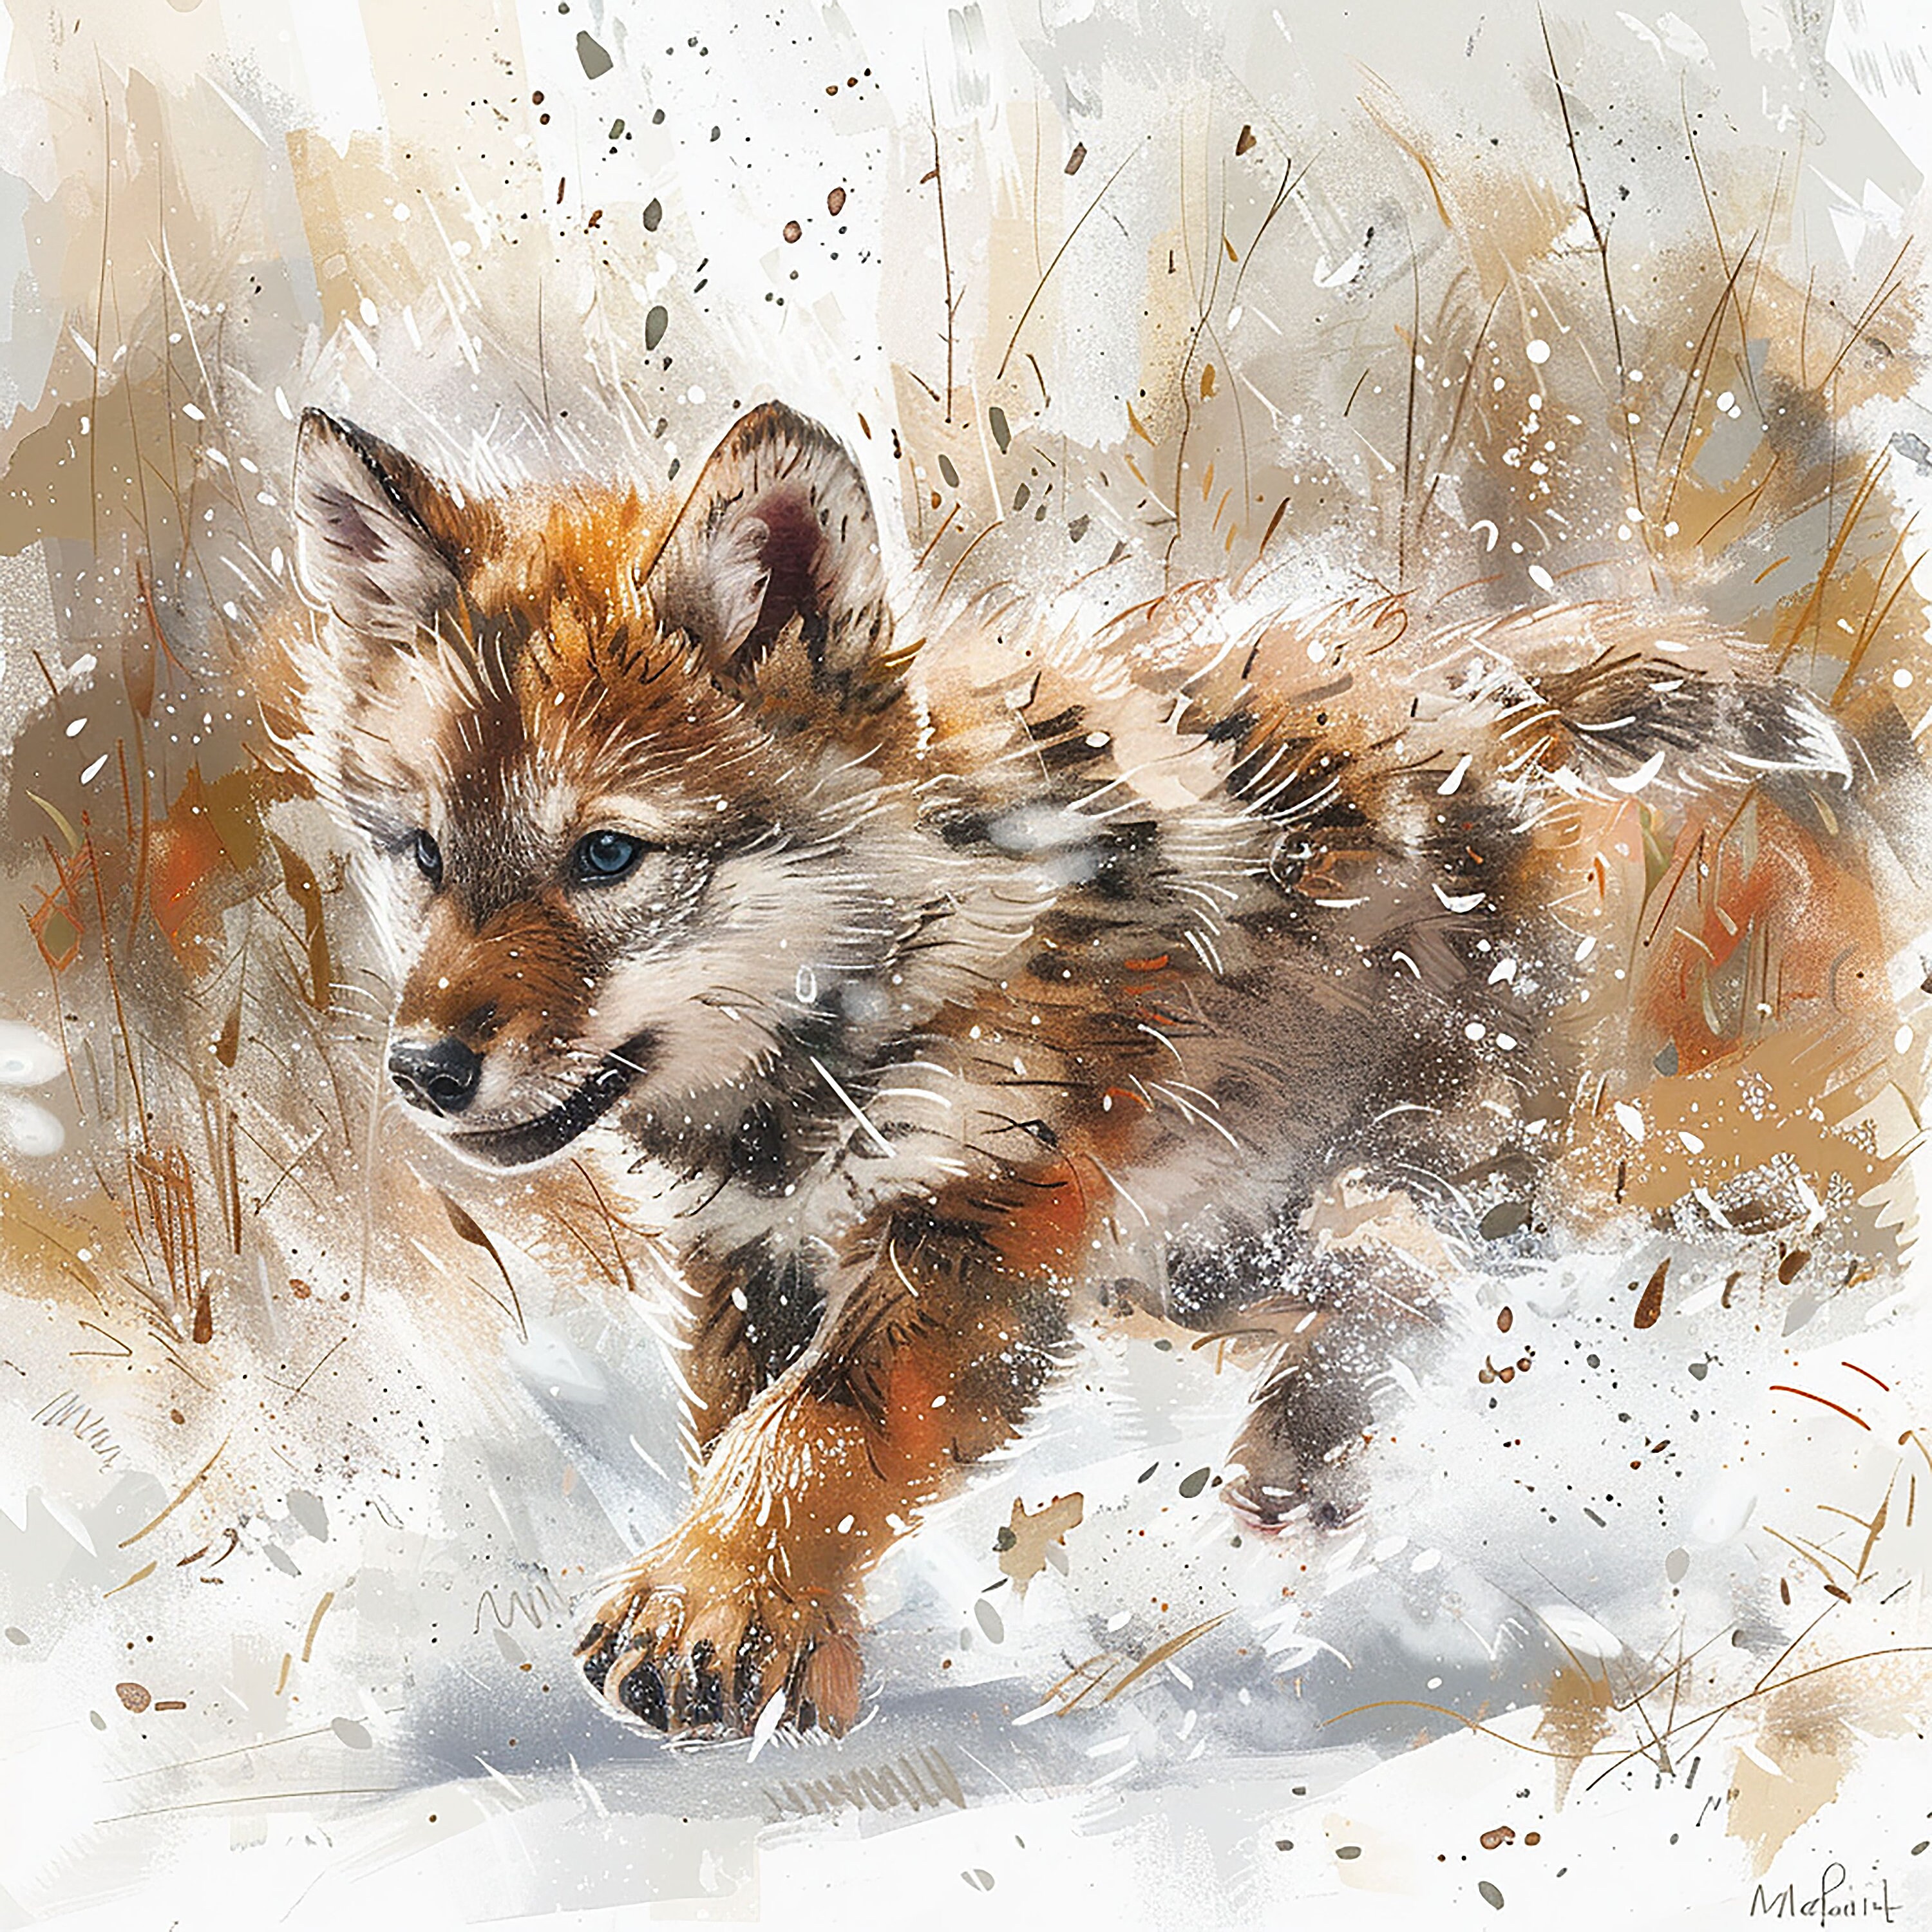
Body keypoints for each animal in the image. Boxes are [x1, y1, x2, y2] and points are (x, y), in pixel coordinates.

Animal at [284, 398, 1906, 1736]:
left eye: (607, 856)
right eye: (422, 854)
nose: (422, 1068)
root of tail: (1486, 691)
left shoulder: (967, 1245)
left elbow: (811, 1437)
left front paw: (707, 1611)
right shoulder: (757, 1263)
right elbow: (750, 1444)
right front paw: (791, 1660)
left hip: (1416, 1176)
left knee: (1477, 1276)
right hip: (1202, 1254)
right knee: (1400, 1287)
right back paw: (1305, 1457)